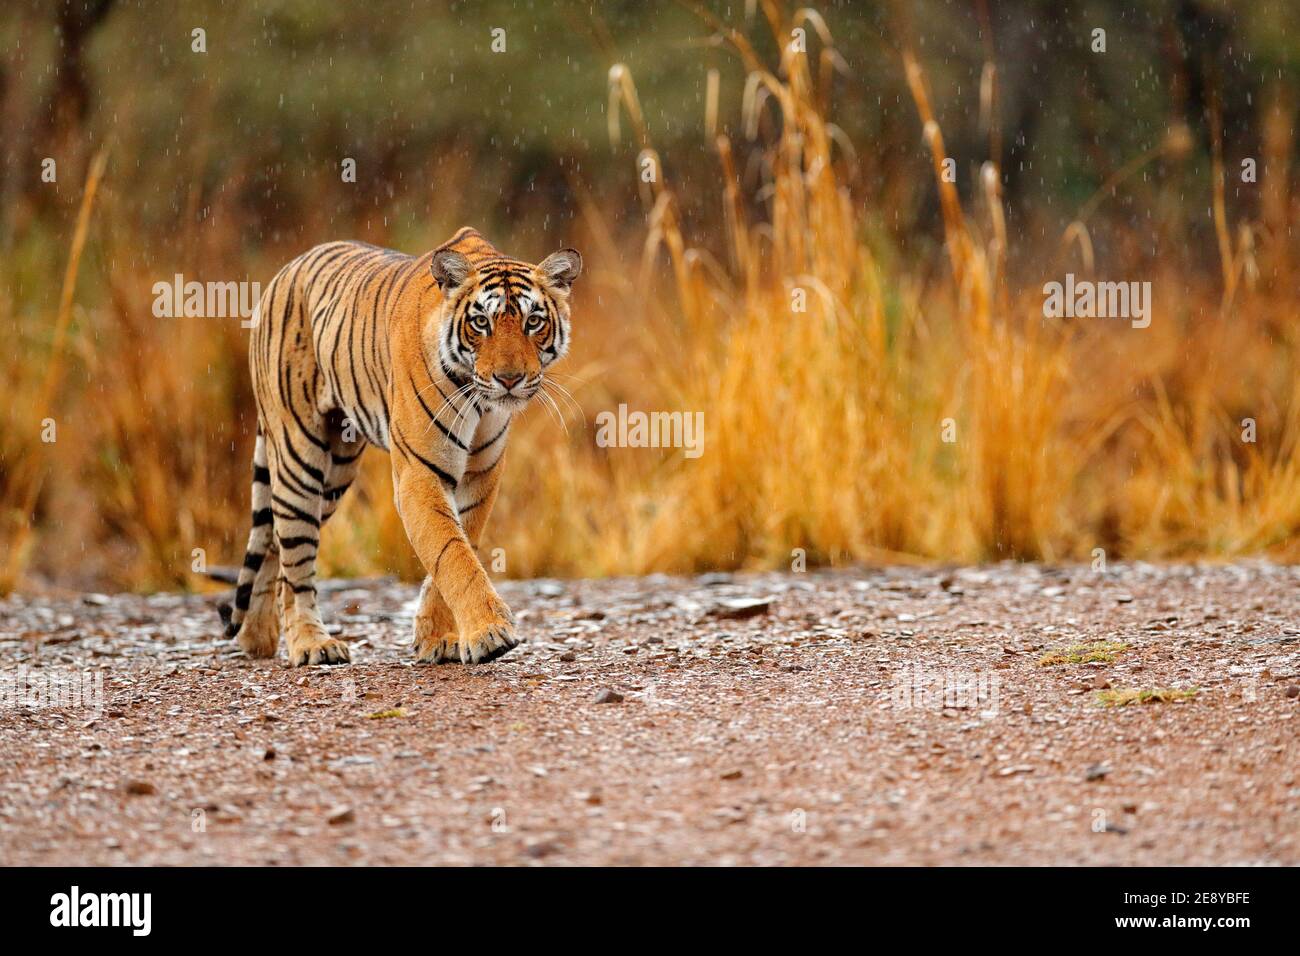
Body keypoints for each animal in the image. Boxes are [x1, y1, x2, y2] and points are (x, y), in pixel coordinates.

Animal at [218, 227, 582, 666]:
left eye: (533, 322)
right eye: (481, 323)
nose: (509, 379)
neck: (480, 401)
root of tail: (284, 271)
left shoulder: (480, 474)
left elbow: (459, 546)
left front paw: (436, 637)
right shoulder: (420, 473)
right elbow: (451, 553)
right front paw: (491, 633)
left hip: (336, 471)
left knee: (273, 538)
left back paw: (257, 637)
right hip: (298, 455)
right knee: (295, 557)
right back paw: (311, 643)